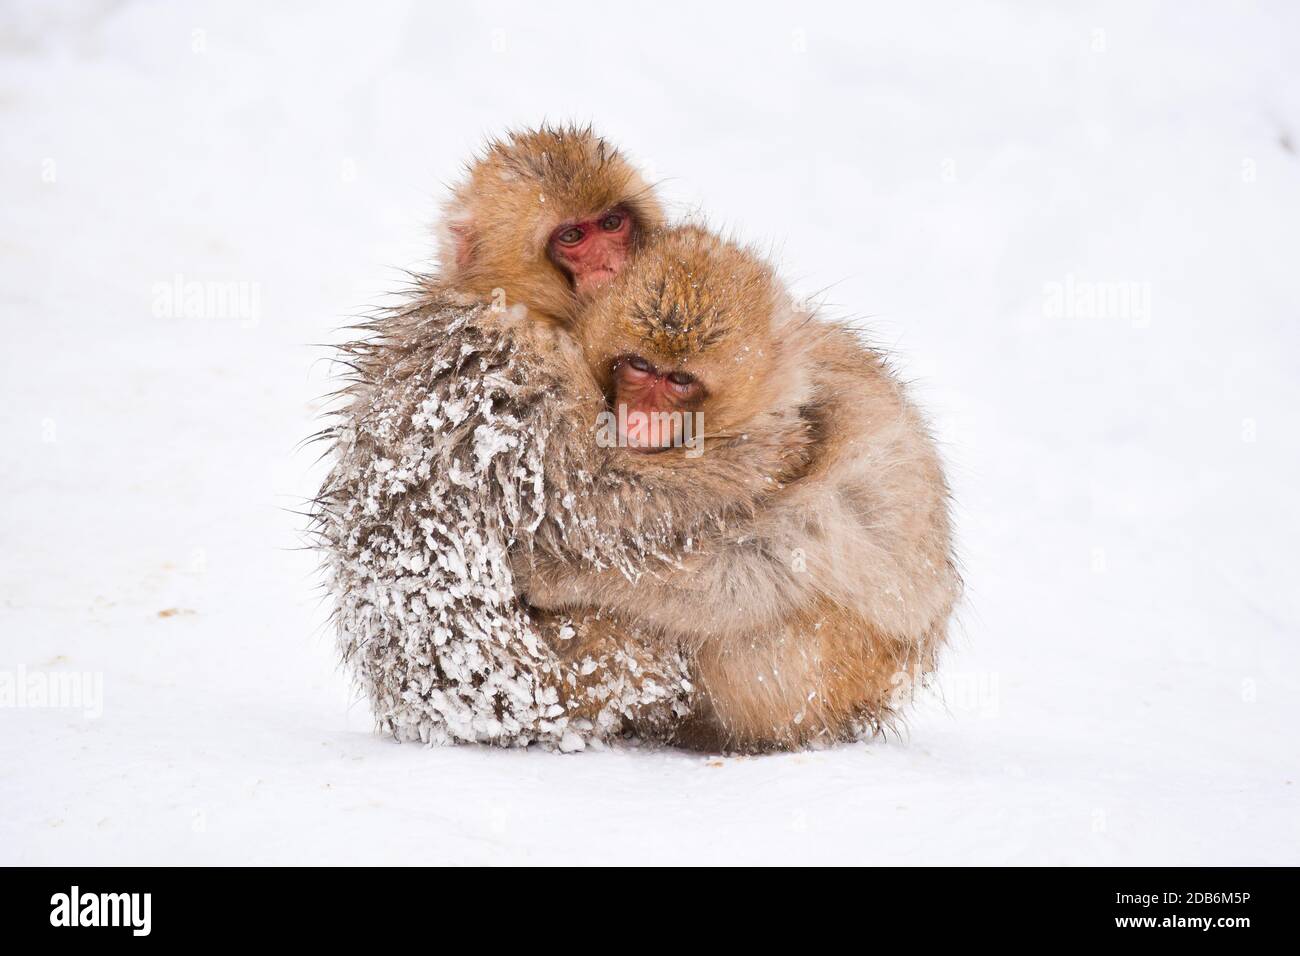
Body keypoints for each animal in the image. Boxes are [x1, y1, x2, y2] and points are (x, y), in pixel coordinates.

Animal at [513, 225, 962, 752]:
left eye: (680, 379)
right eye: (639, 366)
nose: (642, 417)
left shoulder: (807, 434)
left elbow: (754, 574)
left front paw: (556, 576)